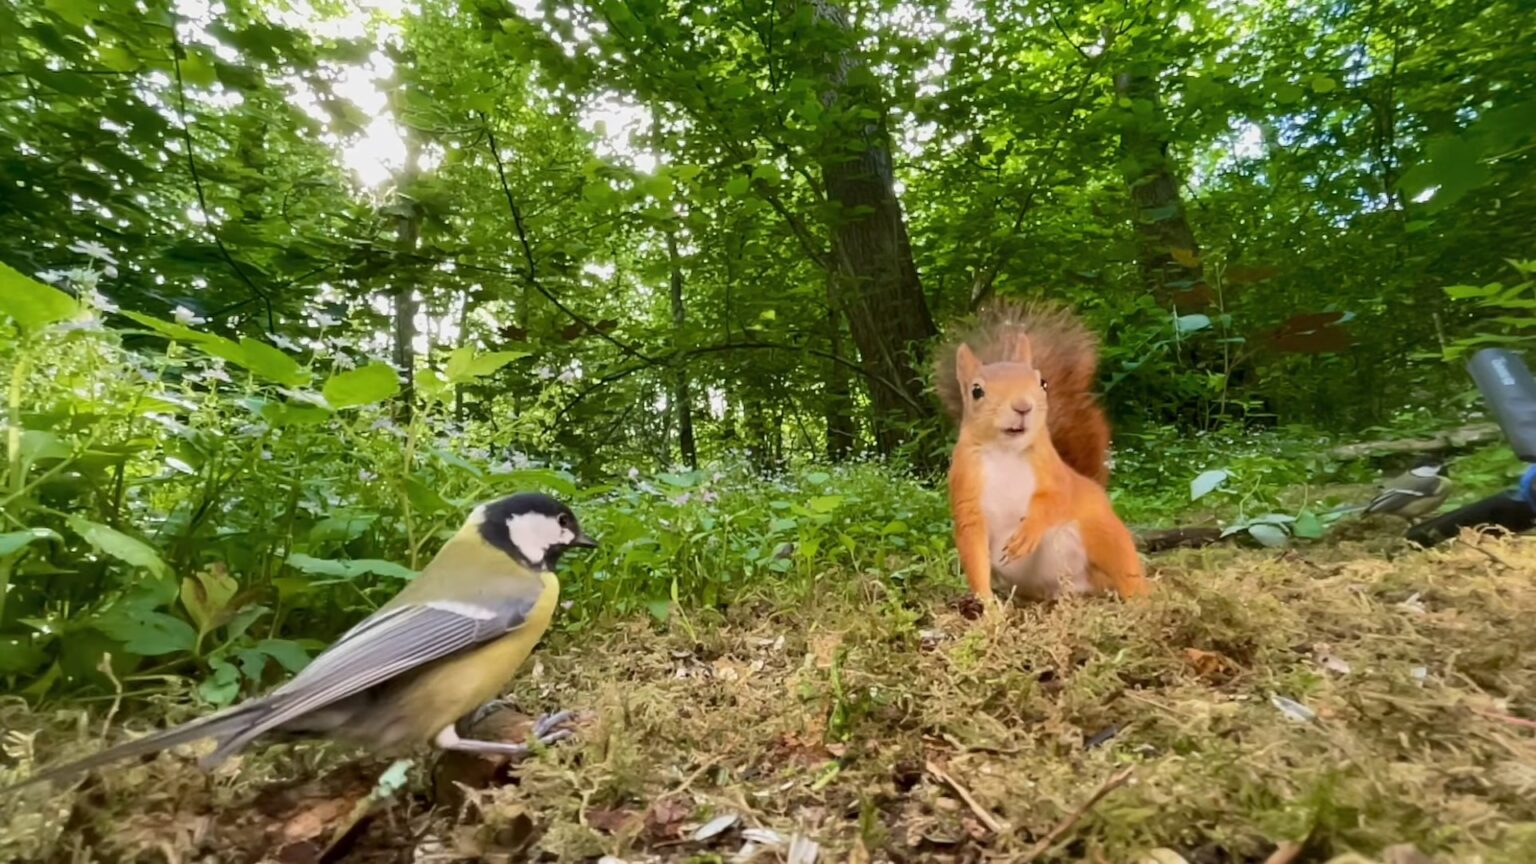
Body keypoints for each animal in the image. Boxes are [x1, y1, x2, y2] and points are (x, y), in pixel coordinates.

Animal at [933, 301, 1148, 602]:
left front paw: (1028, 532)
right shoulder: (966, 492)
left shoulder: (1055, 473)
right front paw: (988, 604)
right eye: (976, 391)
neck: (1006, 452)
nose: (1023, 406)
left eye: (1042, 382)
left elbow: (1056, 499)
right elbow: (973, 554)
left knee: (1127, 571)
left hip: (1107, 538)